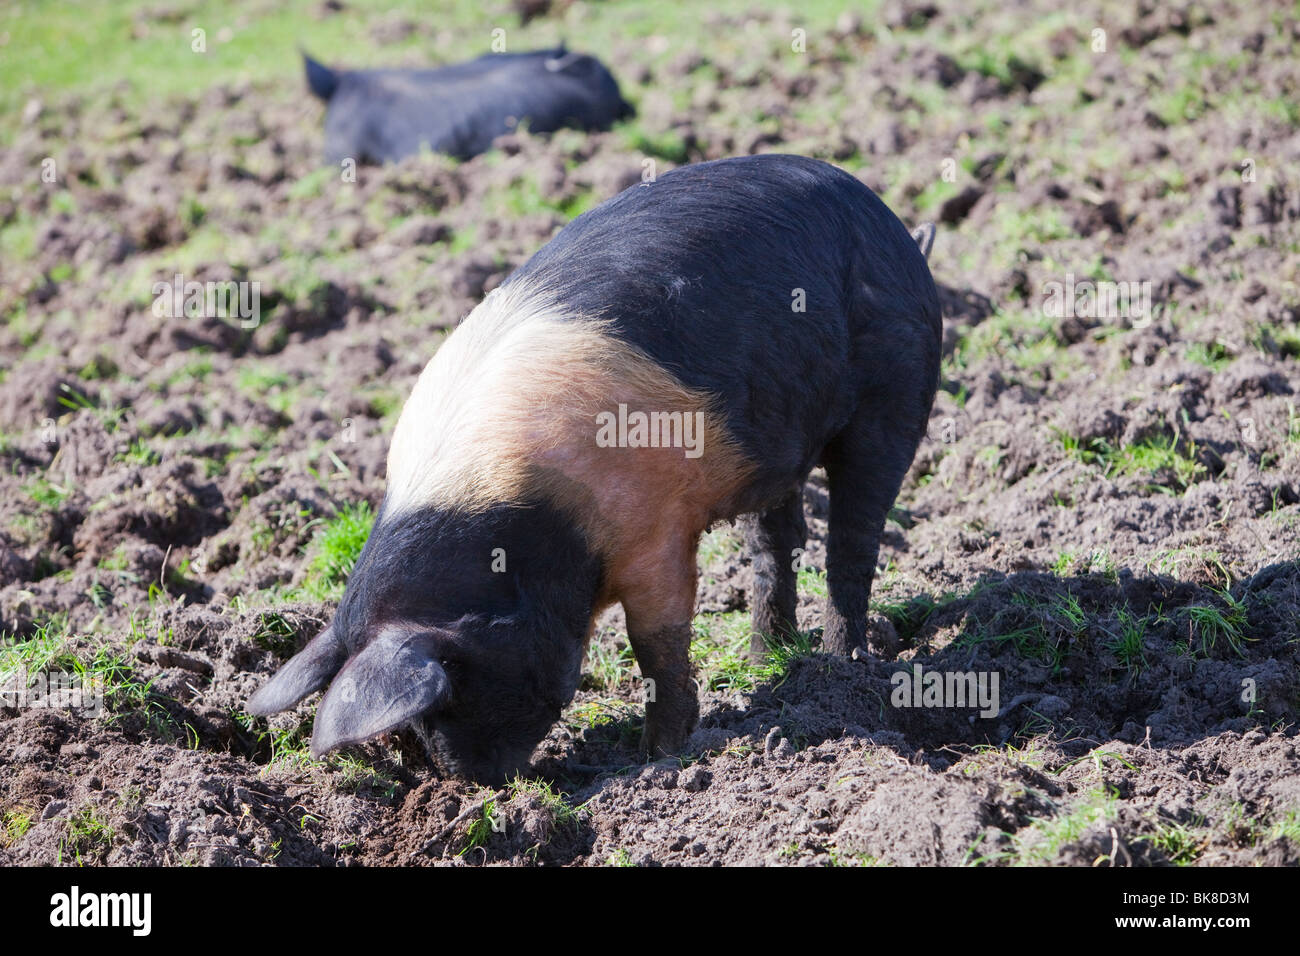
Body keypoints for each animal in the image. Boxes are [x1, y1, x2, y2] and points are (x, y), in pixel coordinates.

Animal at [247, 153, 942, 784]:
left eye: (456, 683)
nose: (469, 784)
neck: (531, 521)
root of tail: (894, 226)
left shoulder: (655, 532)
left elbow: (656, 642)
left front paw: (658, 759)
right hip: (777, 448)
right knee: (776, 544)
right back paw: (766, 660)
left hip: (895, 391)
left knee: (853, 537)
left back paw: (841, 663)